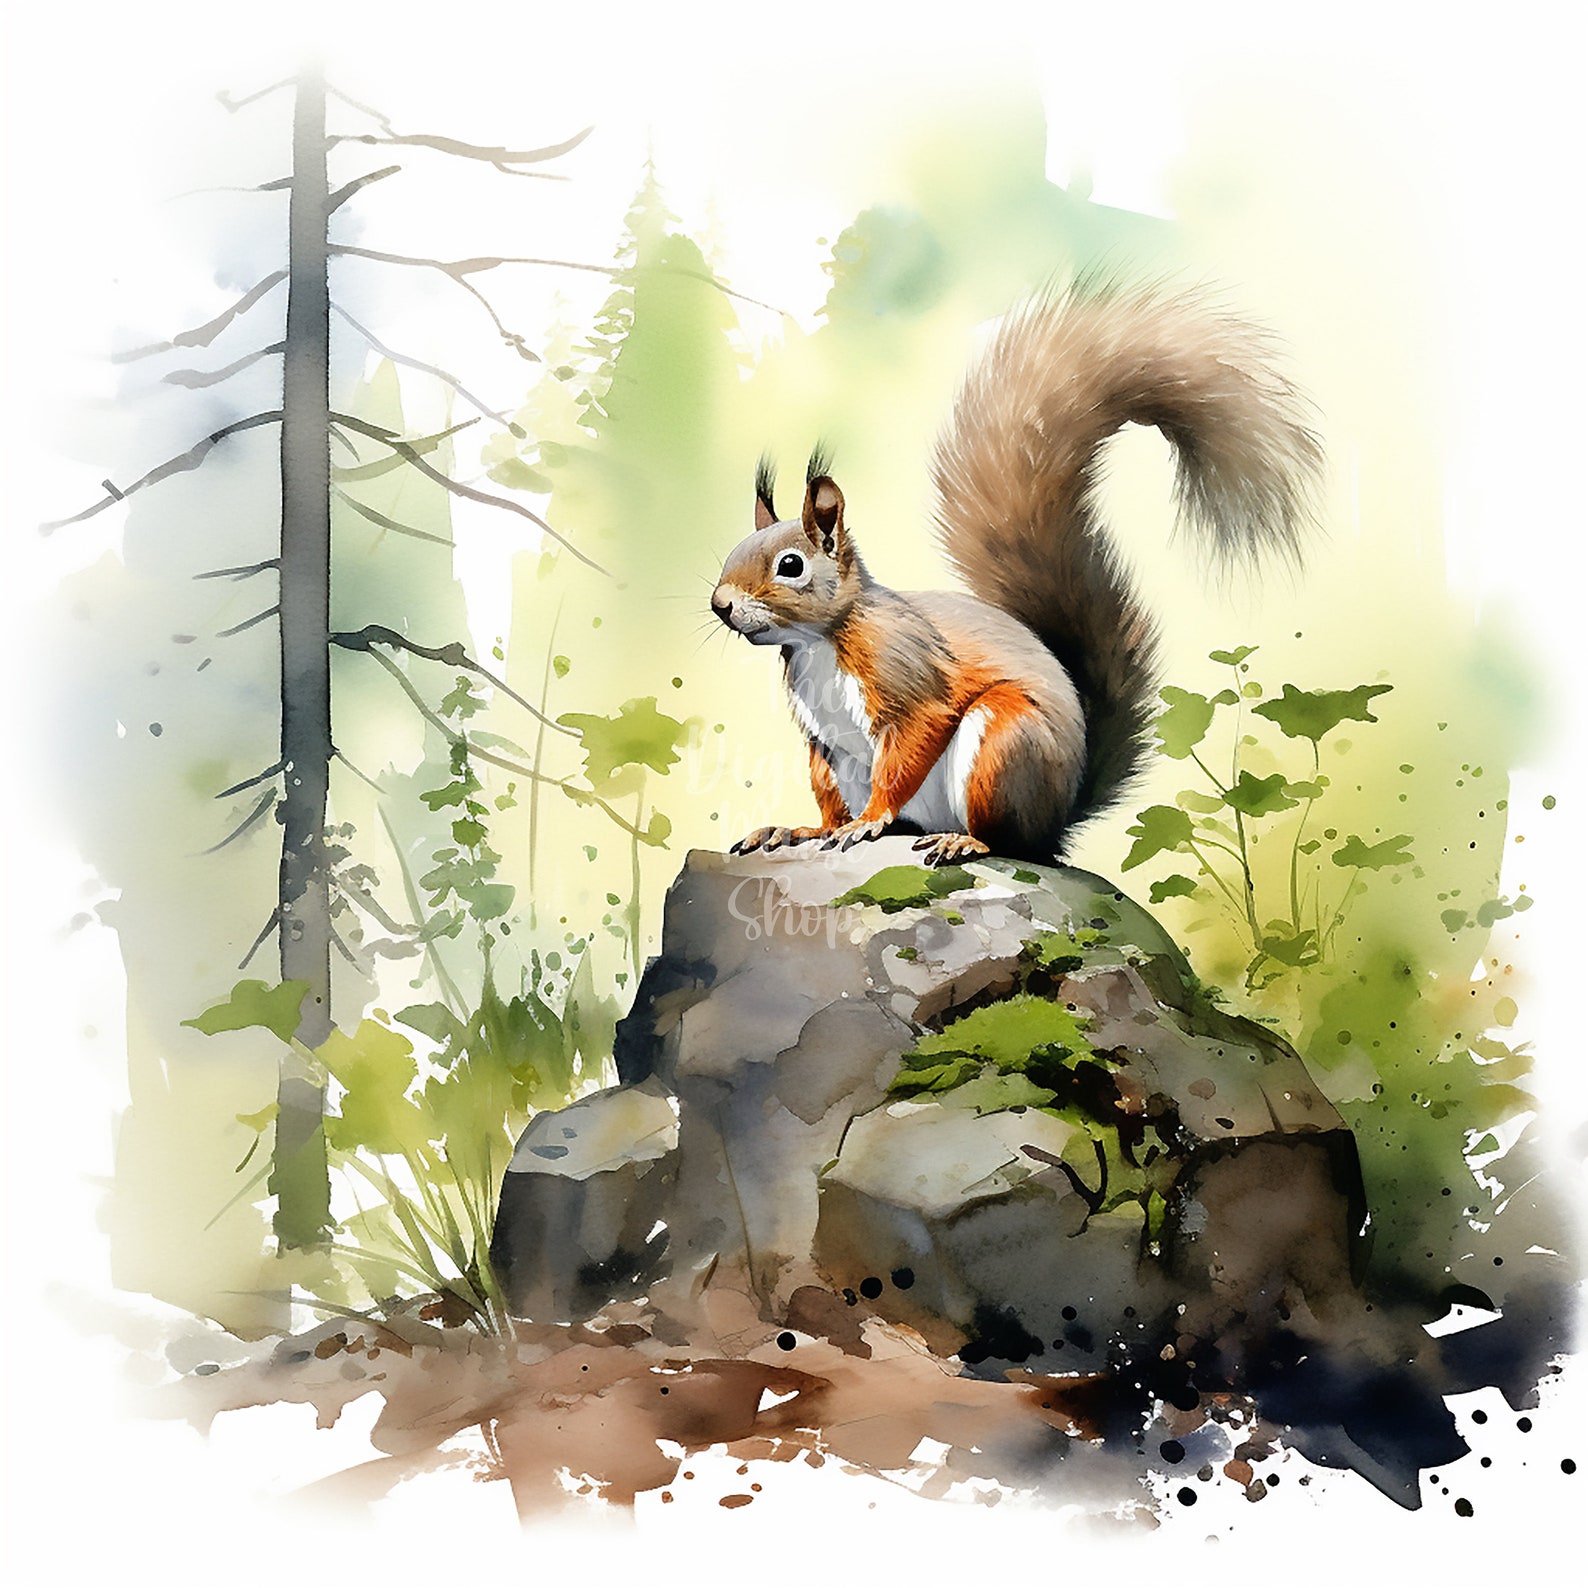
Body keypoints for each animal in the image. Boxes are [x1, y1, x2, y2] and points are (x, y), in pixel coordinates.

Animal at [709, 280, 1322, 867]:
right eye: (732, 553)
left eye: (791, 566)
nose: (721, 604)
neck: (819, 640)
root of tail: (1058, 821)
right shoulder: (824, 743)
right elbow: (829, 800)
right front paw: (810, 828)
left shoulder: (908, 675)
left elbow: (912, 743)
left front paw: (869, 820)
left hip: (1004, 742)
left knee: (1009, 841)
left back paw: (966, 842)